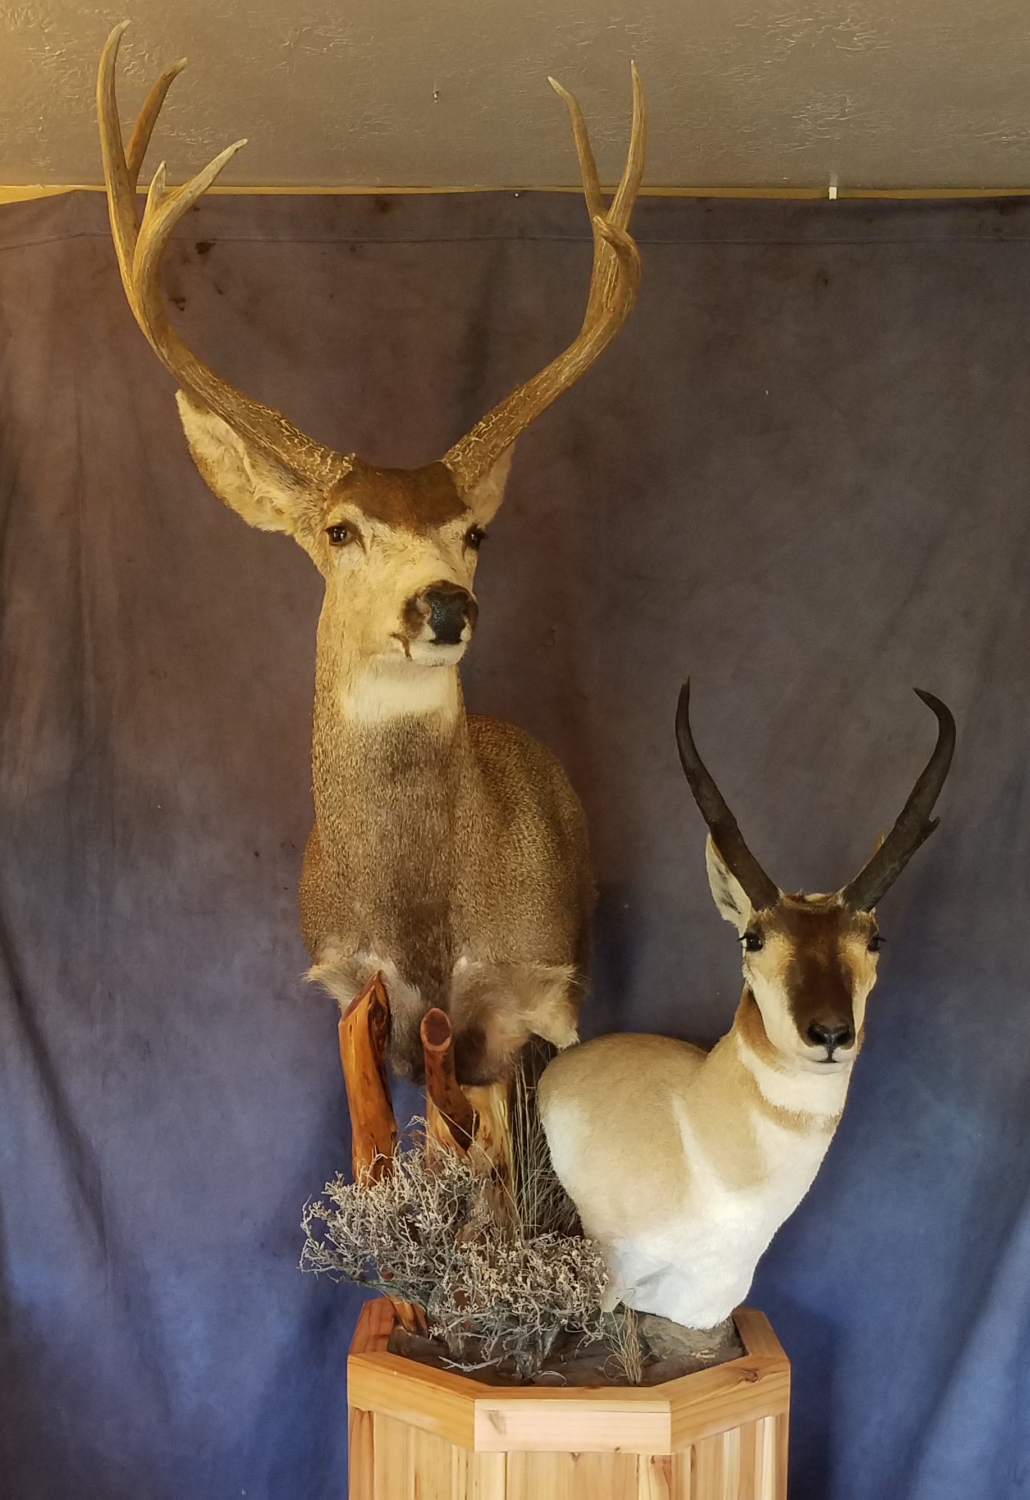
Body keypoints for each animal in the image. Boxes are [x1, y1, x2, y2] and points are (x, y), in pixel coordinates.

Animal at [96, 25, 645, 1086]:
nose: (445, 604)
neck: (427, 922)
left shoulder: (537, 990)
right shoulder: (356, 989)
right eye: (341, 530)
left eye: (474, 533)